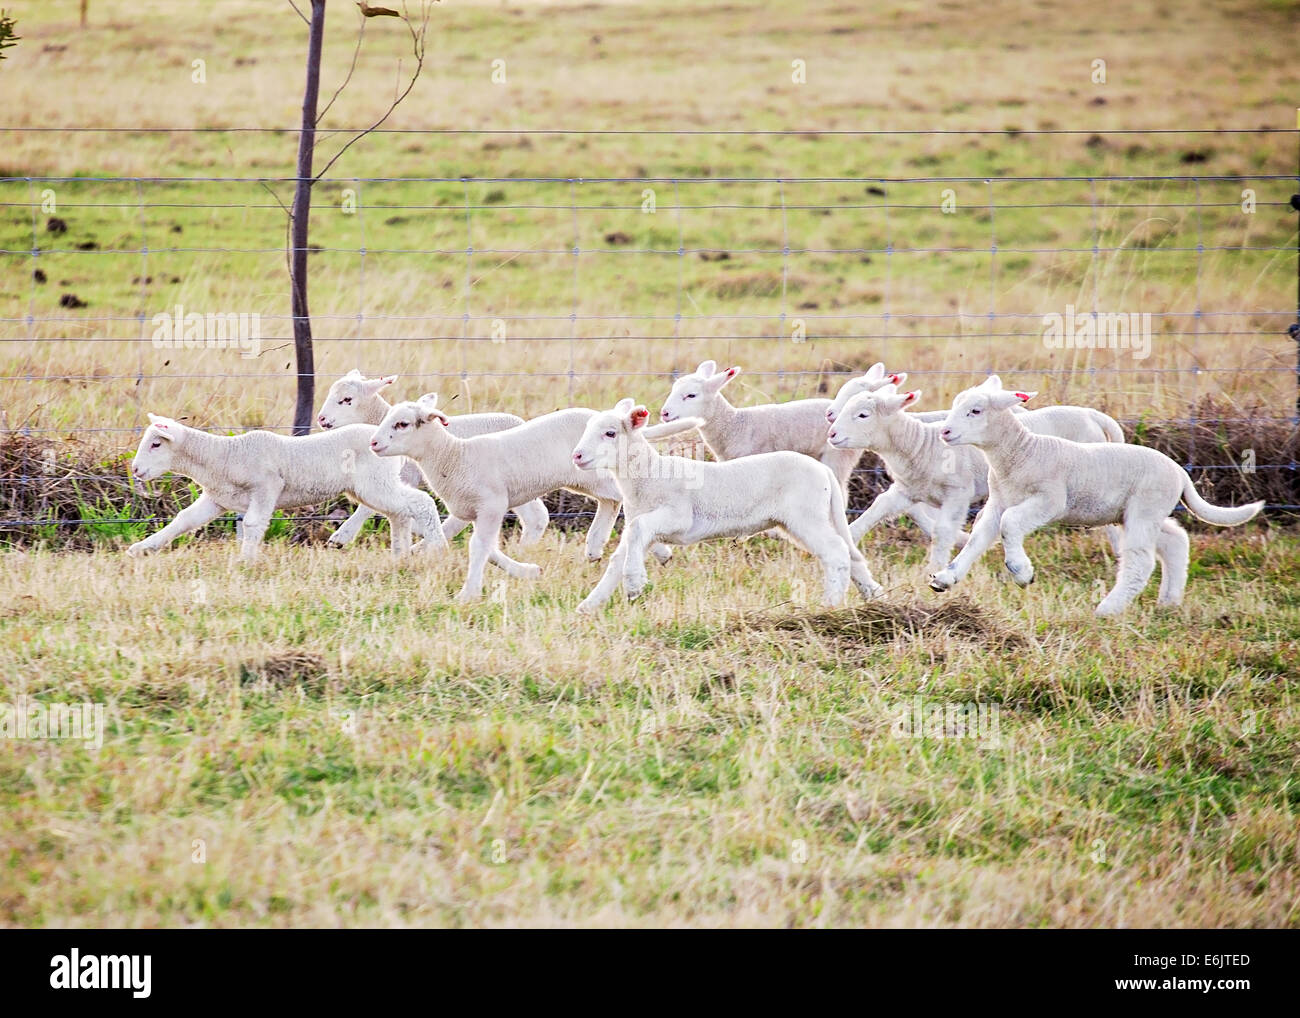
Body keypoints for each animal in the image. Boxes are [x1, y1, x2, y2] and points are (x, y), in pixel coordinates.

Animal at [126, 414, 445, 561]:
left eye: (156, 445)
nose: (136, 470)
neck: (222, 455)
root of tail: (385, 441)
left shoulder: (267, 485)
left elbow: (253, 523)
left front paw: (245, 561)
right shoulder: (217, 498)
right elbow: (183, 520)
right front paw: (143, 548)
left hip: (376, 483)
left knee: (420, 503)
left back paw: (436, 548)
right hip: (374, 486)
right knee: (399, 513)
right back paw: (399, 554)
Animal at [316, 370, 550, 548]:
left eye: (347, 400)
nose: (321, 419)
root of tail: (522, 423)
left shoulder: (403, 475)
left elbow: (370, 505)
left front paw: (340, 537)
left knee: (535, 516)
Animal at [369, 395, 675, 602]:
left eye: (402, 424)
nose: (373, 443)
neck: (455, 457)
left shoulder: (492, 505)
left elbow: (478, 548)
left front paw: (468, 593)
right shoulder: (477, 512)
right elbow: (488, 548)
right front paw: (527, 571)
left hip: (593, 473)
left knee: (621, 498)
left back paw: (654, 550)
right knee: (610, 501)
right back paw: (596, 546)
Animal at [571, 398, 885, 613]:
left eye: (610, 433)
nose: (577, 456)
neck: (648, 475)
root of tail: (825, 473)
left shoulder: (678, 518)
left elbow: (637, 529)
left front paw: (634, 583)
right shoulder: (643, 521)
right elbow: (618, 558)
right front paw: (589, 606)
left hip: (806, 516)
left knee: (836, 552)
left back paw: (830, 604)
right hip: (813, 517)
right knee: (851, 554)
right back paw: (873, 596)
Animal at [926, 377, 1265, 616]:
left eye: (975, 411)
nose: (944, 432)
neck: (1022, 451)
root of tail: (1181, 474)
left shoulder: (1049, 500)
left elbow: (1010, 525)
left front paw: (1022, 572)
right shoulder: (999, 501)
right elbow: (978, 538)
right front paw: (945, 579)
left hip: (1145, 509)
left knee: (1141, 562)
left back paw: (1107, 609)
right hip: (1138, 513)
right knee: (1175, 541)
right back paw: (1169, 601)